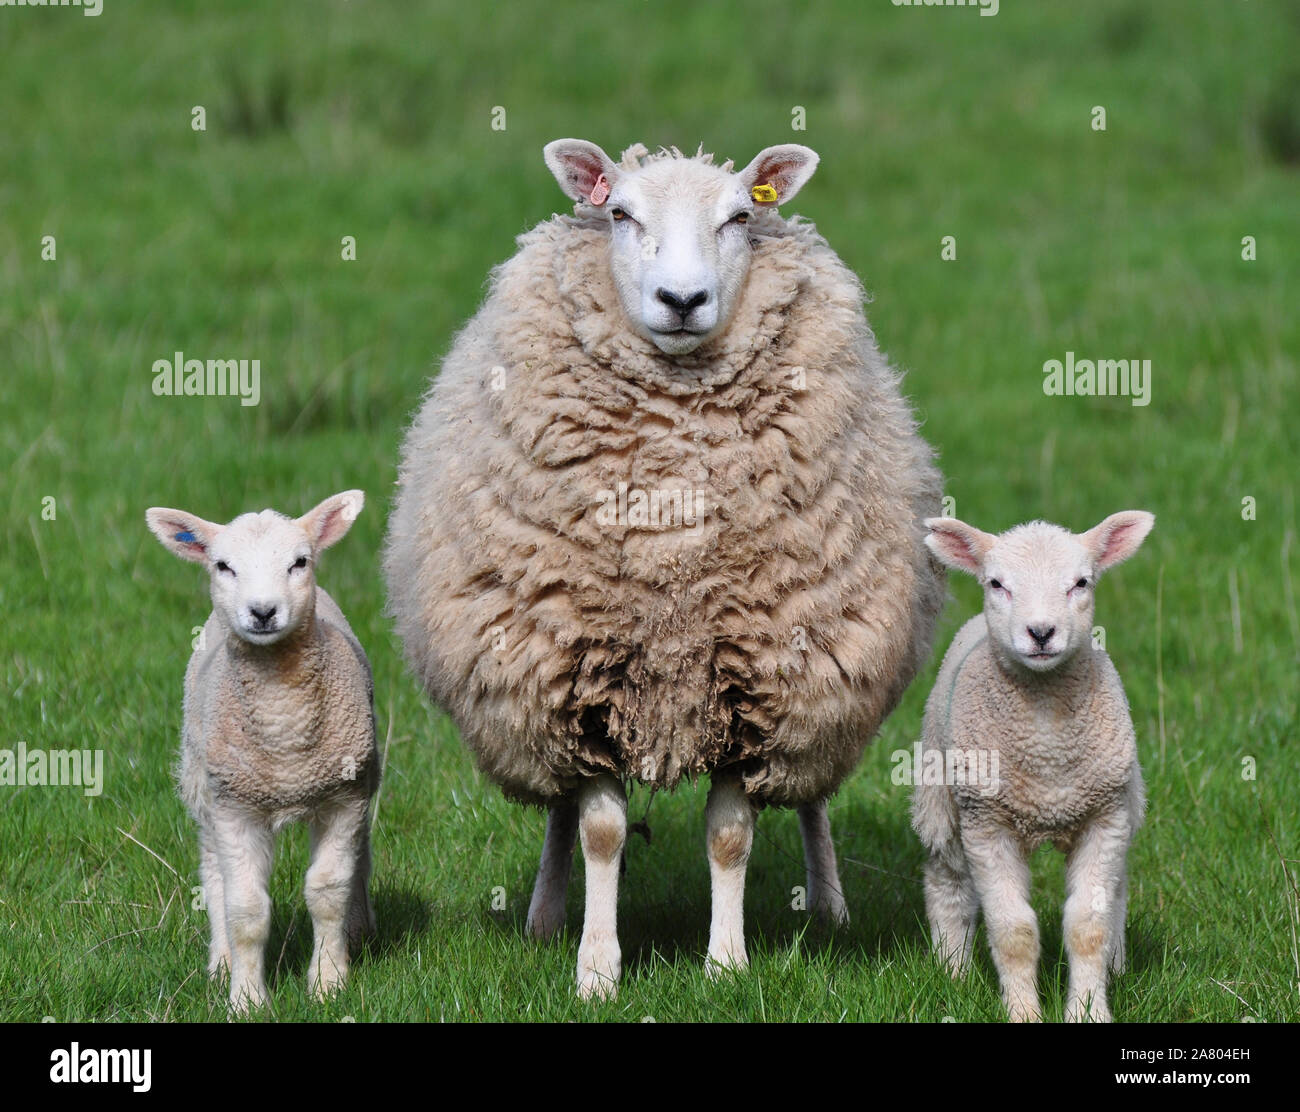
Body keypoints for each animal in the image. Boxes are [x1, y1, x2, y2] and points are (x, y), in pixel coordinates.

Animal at [146, 491, 379, 1011]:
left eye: (300, 562)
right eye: (223, 566)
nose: (263, 611)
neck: (284, 734)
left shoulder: (344, 798)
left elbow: (328, 890)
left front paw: (329, 983)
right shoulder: (236, 806)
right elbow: (246, 909)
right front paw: (247, 999)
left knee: (361, 859)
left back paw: (357, 931)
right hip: (204, 785)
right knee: (214, 872)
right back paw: (221, 963)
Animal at [384, 139, 945, 998]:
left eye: (740, 217)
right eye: (620, 212)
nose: (682, 300)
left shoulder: (755, 686)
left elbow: (729, 837)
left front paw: (725, 963)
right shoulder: (581, 682)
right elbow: (602, 831)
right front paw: (596, 968)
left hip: (822, 679)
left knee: (812, 798)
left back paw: (828, 905)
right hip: (538, 684)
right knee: (558, 806)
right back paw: (545, 913)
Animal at [912, 510, 1154, 1022]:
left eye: (1082, 583)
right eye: (996, 583)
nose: (1041, 633)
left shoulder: (1105, 816)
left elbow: (1089, 924)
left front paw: (1089, 1010)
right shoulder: (987, 825)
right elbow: (1014, 931)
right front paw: (1023, 1012)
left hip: (1126, 801)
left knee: (1118, 890)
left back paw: (1117, 965)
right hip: (942, 799)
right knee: (947, 881)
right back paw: (952, 970)